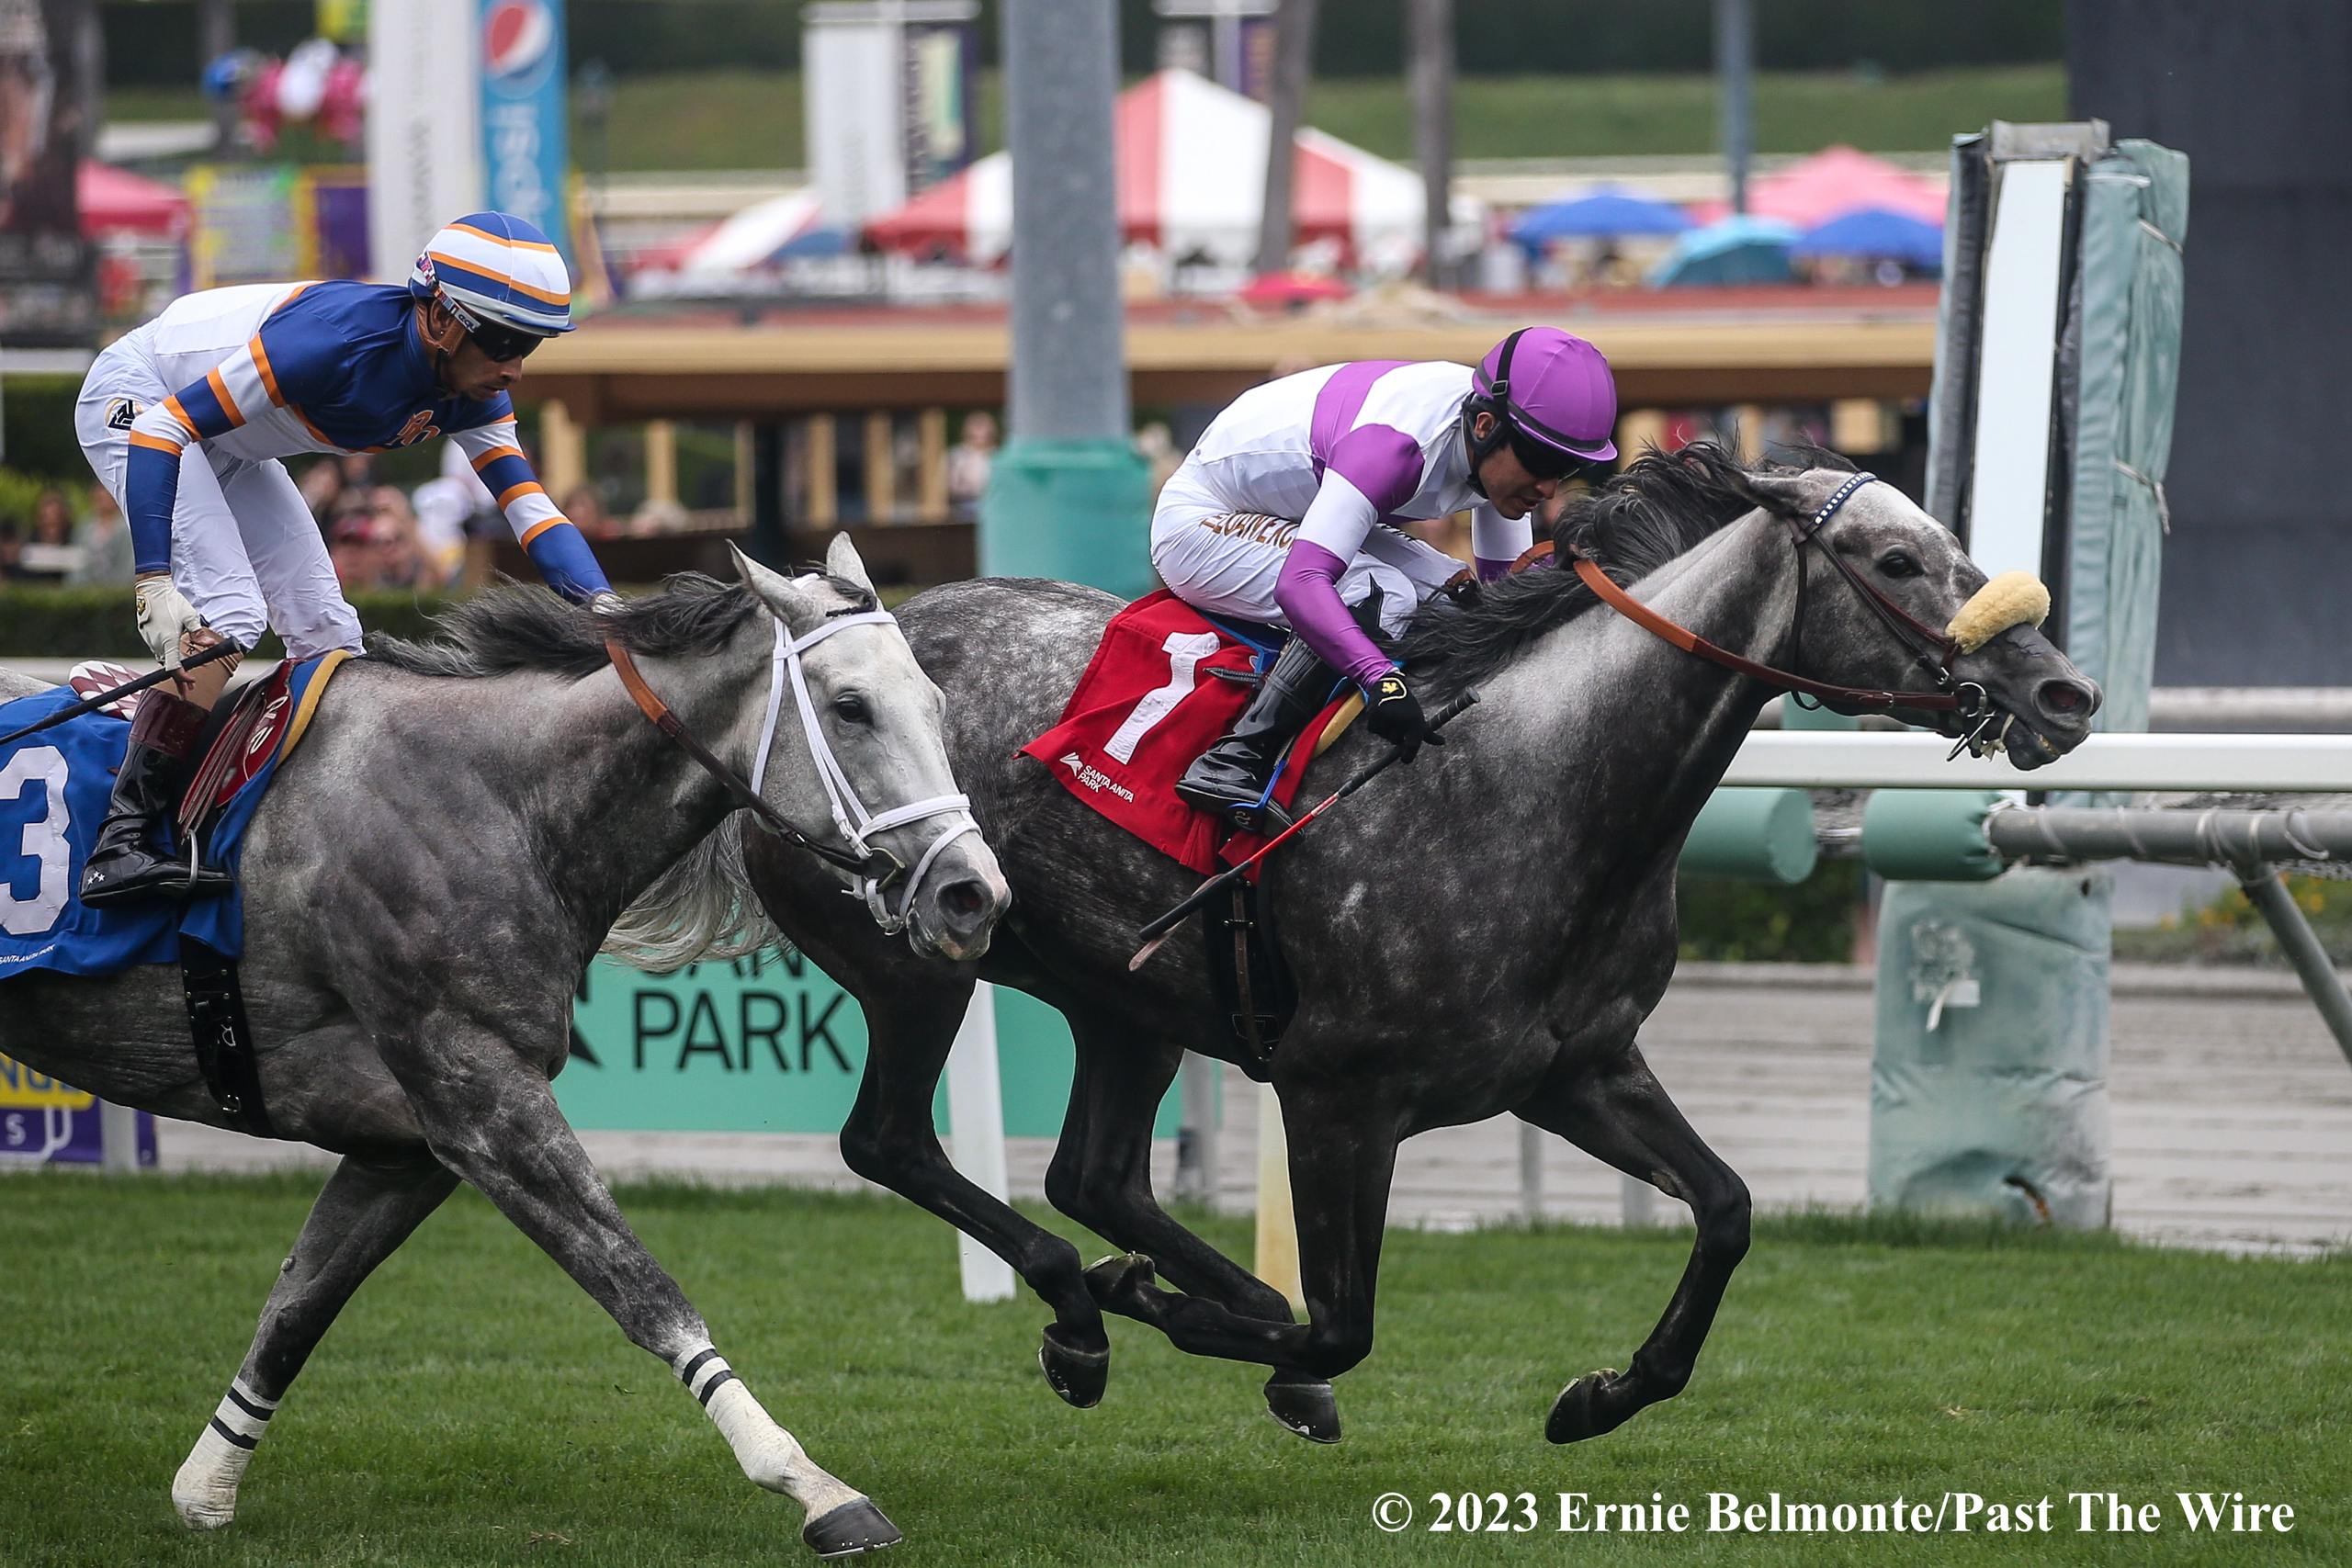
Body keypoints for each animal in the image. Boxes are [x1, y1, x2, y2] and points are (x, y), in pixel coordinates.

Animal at [0, 535, 1007, 1557]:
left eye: (935, 703)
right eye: (851, 707)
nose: (974, 893)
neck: (499, 805)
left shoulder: (407, 1141)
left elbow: (300, 1303)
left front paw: (206, 1488)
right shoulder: (478, 1095)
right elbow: (644, 1292)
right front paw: (814, 1487)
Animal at [688, 444, 2102, 1447]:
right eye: (1897, 559)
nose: (2063, 691)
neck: (1532, 779)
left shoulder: (1575, 1067)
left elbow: (1729, 1210)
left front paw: (1602, 1391)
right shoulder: (1339, 1098)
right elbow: (1346, 1326)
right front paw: (1166, 1310)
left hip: (1126, 997)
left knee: (1096, 1175)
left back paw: (1149, 1305)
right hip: (918, 948)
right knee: (894, 1143)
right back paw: (1089, 1313)